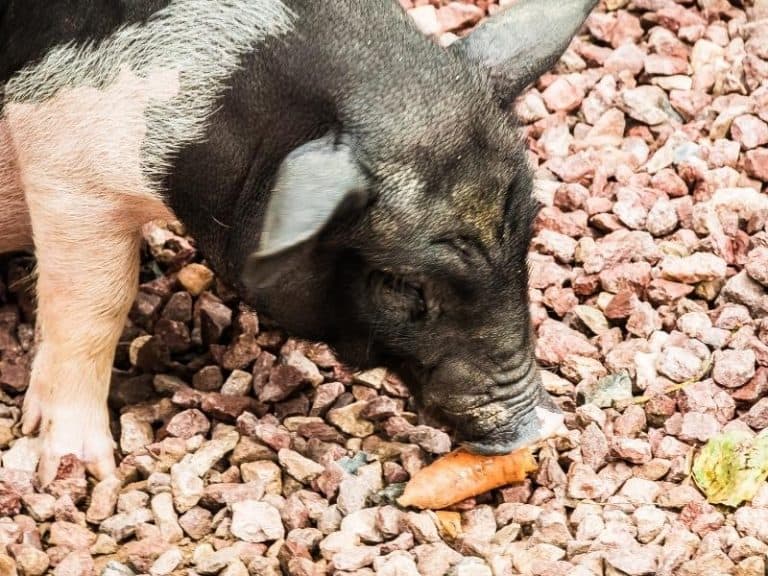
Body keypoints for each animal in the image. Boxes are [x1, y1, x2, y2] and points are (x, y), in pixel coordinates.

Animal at [0, 0, 597, 484]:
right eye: (402, 284)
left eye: (528, 232)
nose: (538, 428)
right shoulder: (69, 168)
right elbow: (97, 304)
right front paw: (81, 472)